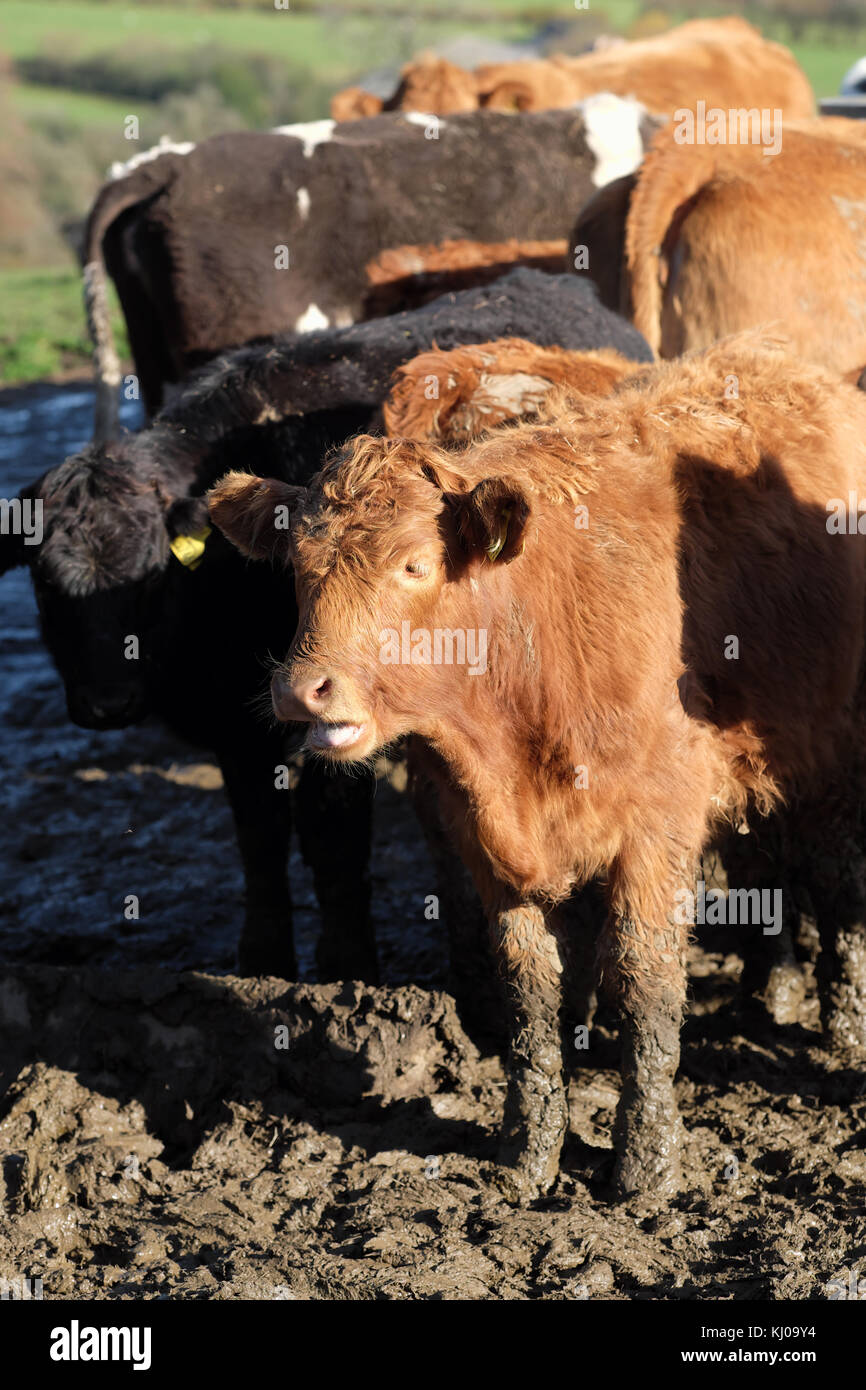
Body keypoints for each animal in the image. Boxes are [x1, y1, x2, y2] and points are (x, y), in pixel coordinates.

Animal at [2, 270, 652, 1009]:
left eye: (150, 576)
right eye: (44, 582)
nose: (107, 702)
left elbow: (330, 834)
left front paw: (347, 964)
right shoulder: (236, 731)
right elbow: (258, 836)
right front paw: (262, 956)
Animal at [208, 334, 866, 1200]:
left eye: (414, 566)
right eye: (296, 566)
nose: (302, 688)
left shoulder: (658, 825)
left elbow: (648, 979)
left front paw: (646, 1161)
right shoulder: (485, 841)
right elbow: (528, 987)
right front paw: (529, 1150)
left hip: (834, 751)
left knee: (839, 876)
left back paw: (845, 1024)